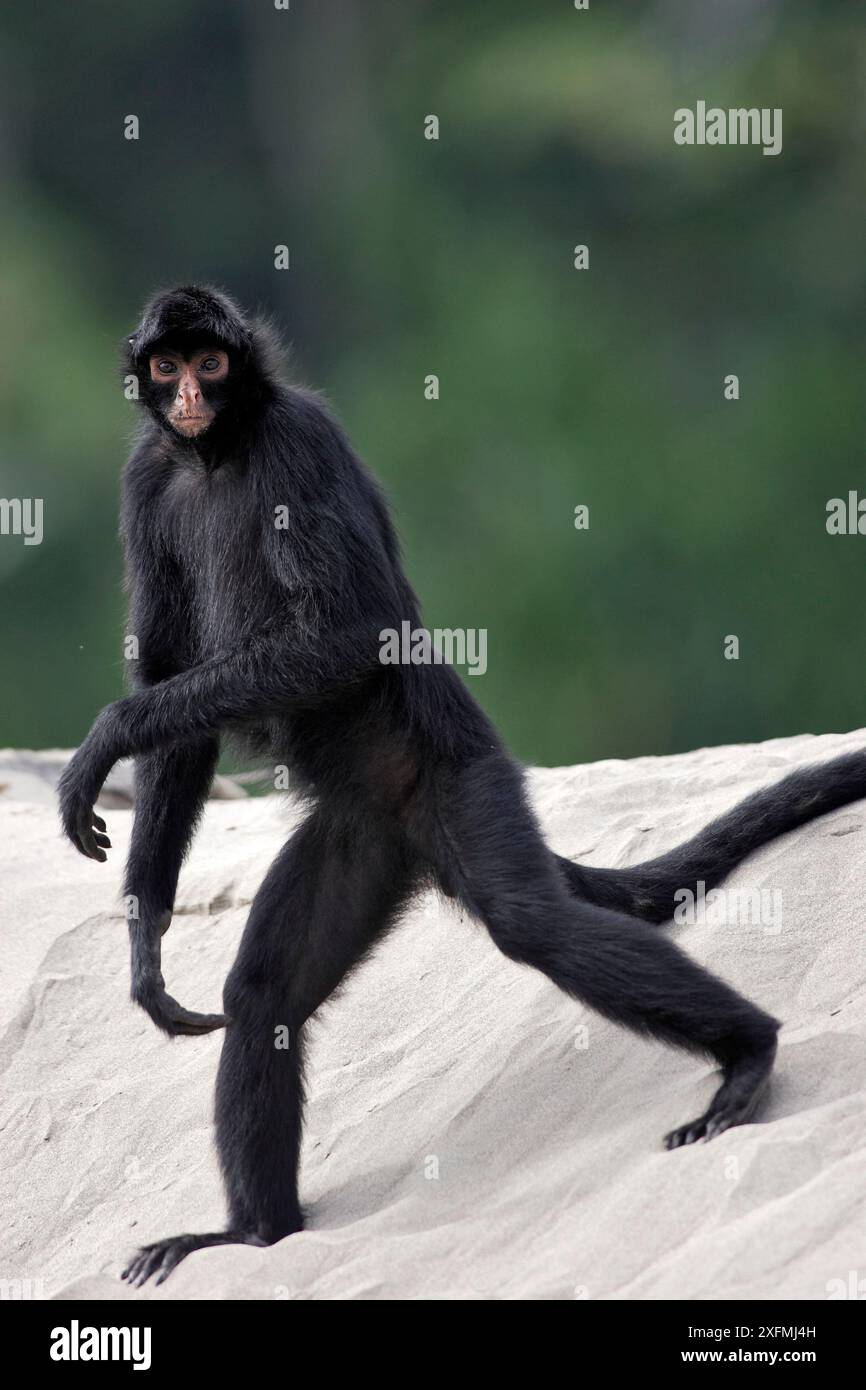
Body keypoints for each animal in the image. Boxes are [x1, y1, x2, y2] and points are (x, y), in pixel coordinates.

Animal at [56, 284, 864, 1286]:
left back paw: (750, 1055)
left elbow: (346, 633)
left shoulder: (295, 441)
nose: (192, 396)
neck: (216, 455)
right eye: (168, 368)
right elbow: (177, 695)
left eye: (211, 363)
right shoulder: (147, 475)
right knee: (264, 998)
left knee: (532, 922)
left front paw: (108, 738)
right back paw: (253, 1234)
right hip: (363, 836)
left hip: (460, 781)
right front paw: (146, 945)